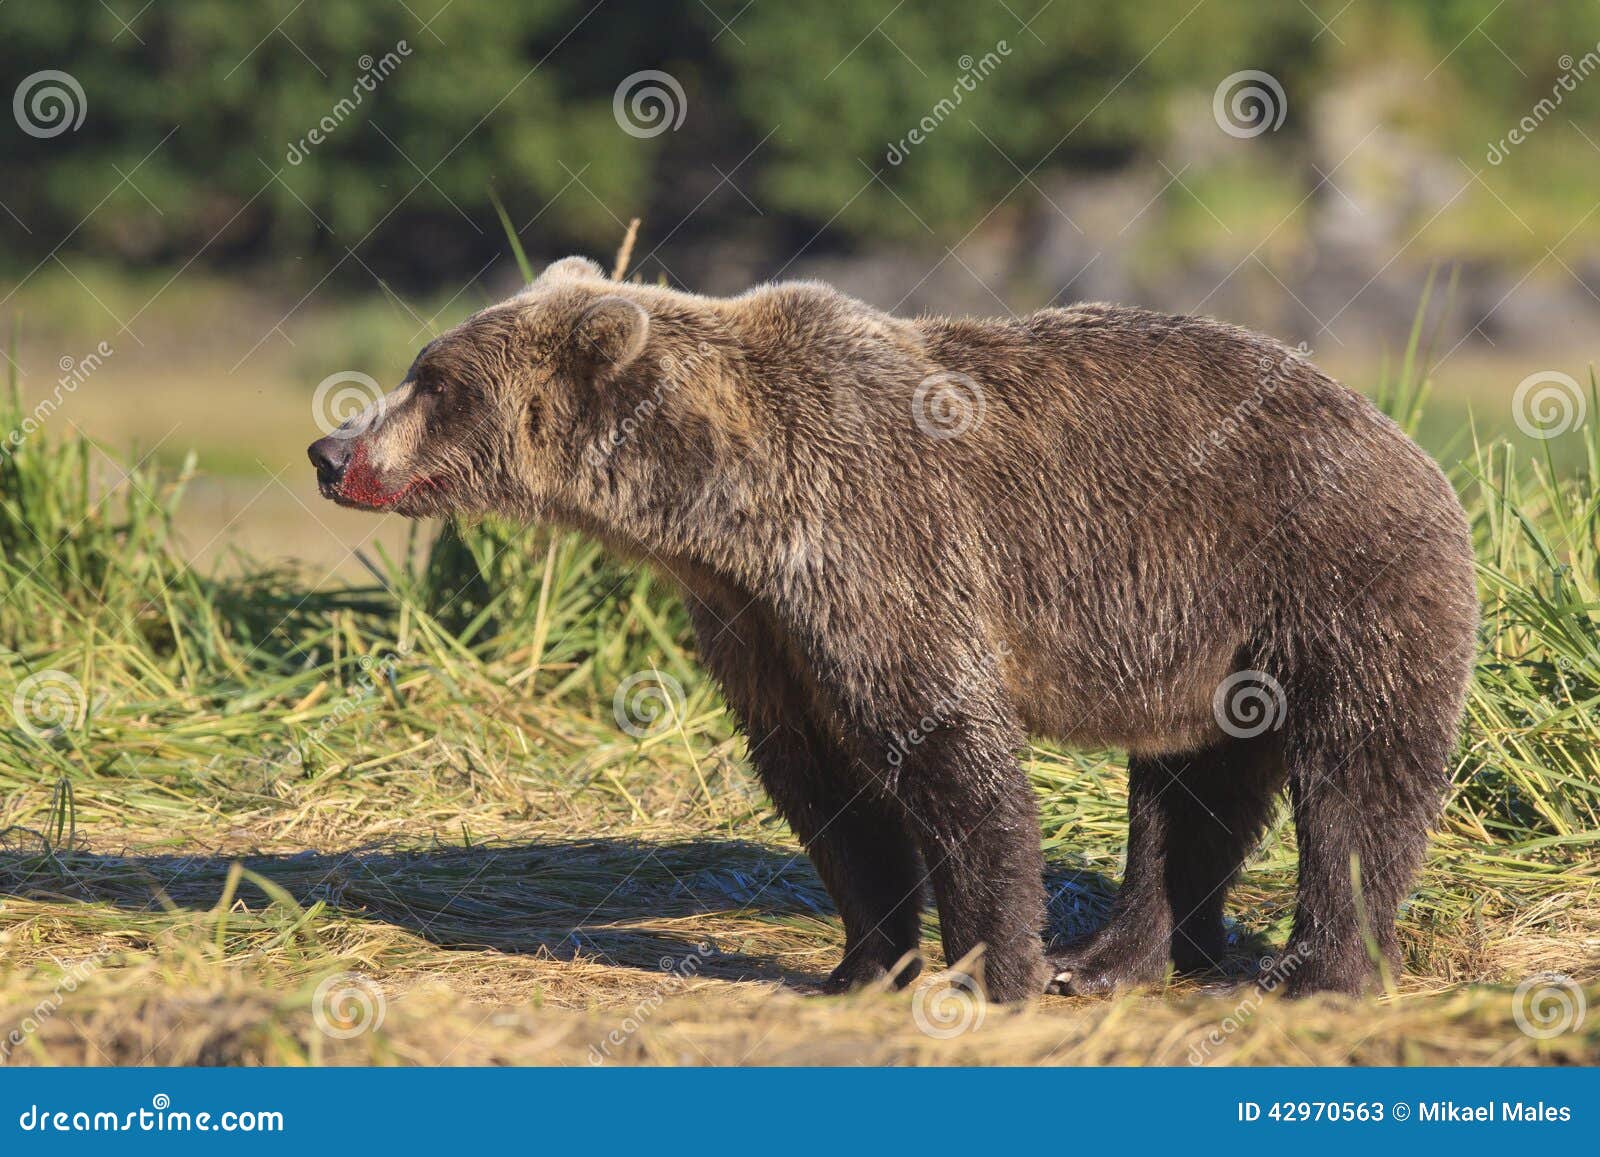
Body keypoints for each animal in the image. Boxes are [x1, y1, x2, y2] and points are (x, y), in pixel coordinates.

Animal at [308, 255, 1478, 1002]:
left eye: (436, 379)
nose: (331, 448)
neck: (726, 504)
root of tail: (1410, 441)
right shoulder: (754, 617)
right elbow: (825, 788)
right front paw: (866, 960)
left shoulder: (878, 543)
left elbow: (950, 755)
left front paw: (993, 964)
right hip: (1212, 644)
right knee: (1190, 793)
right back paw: (1108, 956)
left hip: (1329, 573)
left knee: (1357, 779)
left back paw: (1312, 970)